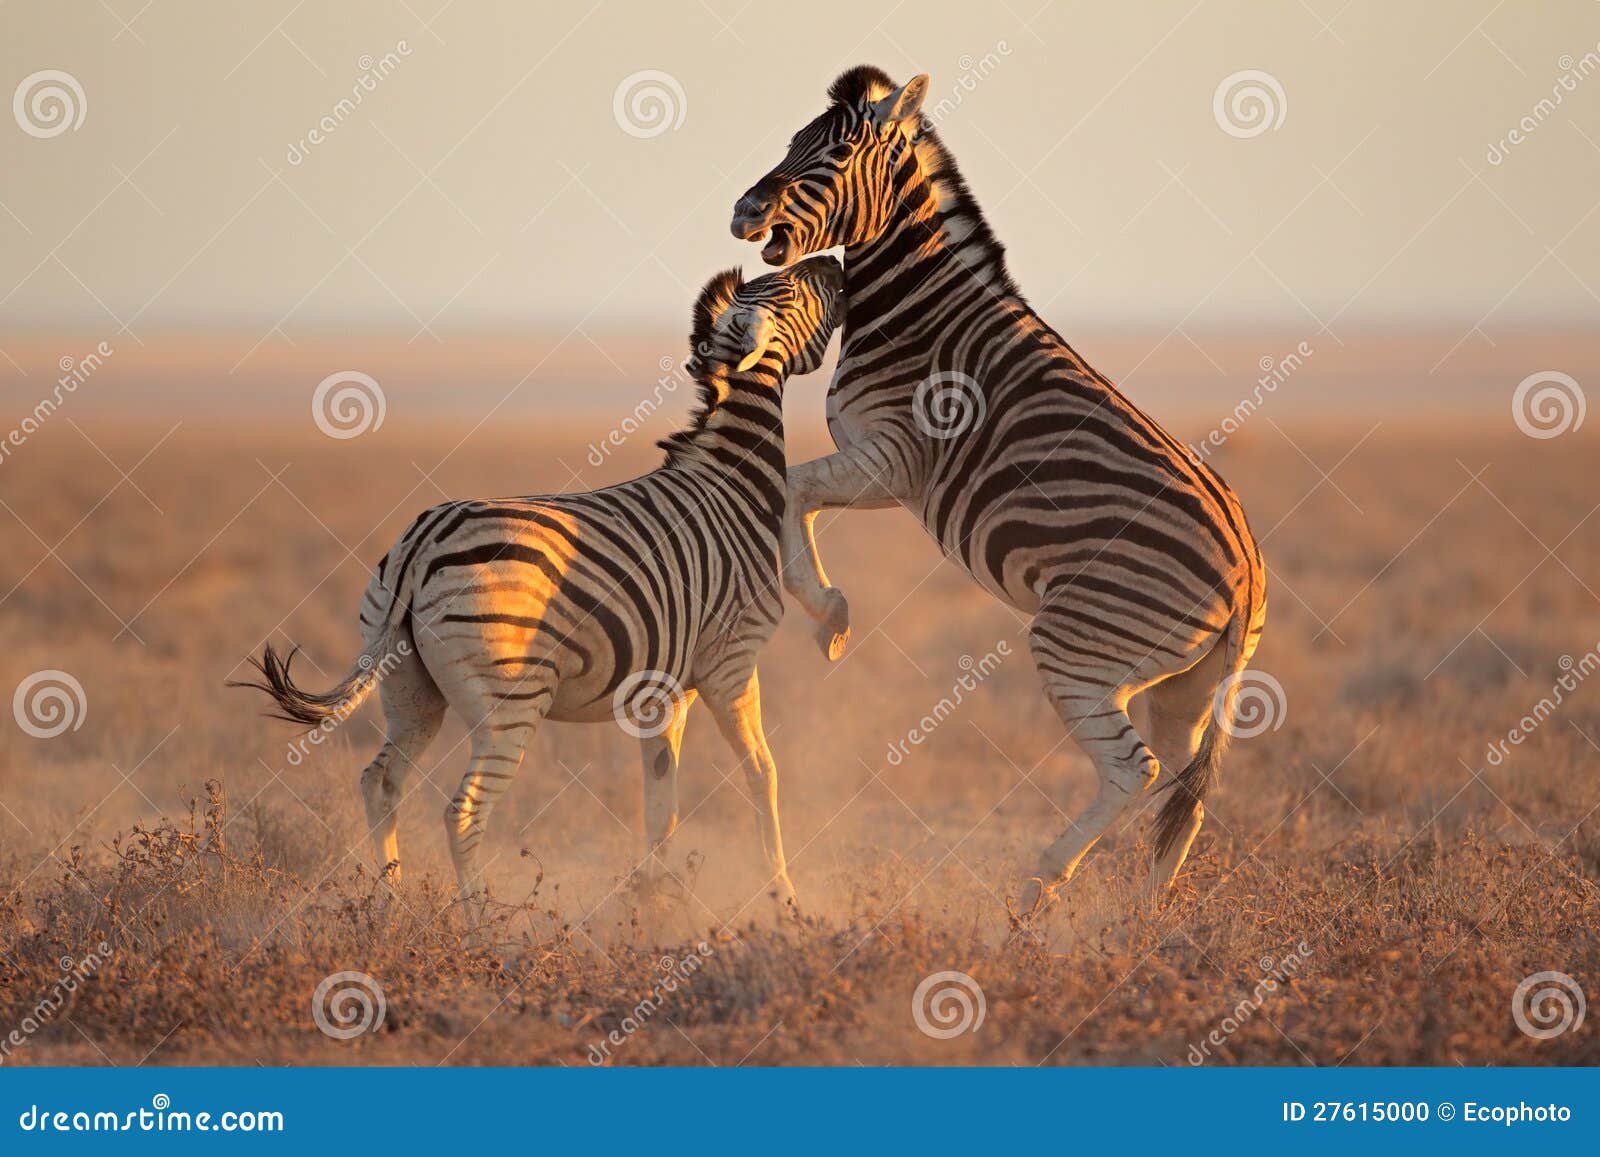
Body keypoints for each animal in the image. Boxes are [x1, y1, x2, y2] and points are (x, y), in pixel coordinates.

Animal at [237, 255, 844, 931]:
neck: (731, 482)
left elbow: (661, 801)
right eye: (794, 288)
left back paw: (389, 908)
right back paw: (483, 930)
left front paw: (653, 903)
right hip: (511, 701)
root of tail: (420, 546)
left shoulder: (666, 692)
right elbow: (762, 774)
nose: (834, 263)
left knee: (381, 783)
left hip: (408, 688)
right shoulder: (731, 662)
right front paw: (785, 901)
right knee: (462, 811)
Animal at [730, 67, 1267, 915]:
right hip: (1187, 682)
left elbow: (790, 487)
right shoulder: (888, 470)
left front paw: (829, 615)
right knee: (1182, 791)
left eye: (835, 152)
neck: (916, 308)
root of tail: (1246, 567)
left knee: (1135, 770)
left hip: (1077, 643)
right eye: (793, 142)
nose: (744, 211)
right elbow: (798, 492)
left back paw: (1040, 885)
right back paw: (1144, 921)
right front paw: (829, 612)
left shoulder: (895, 459)